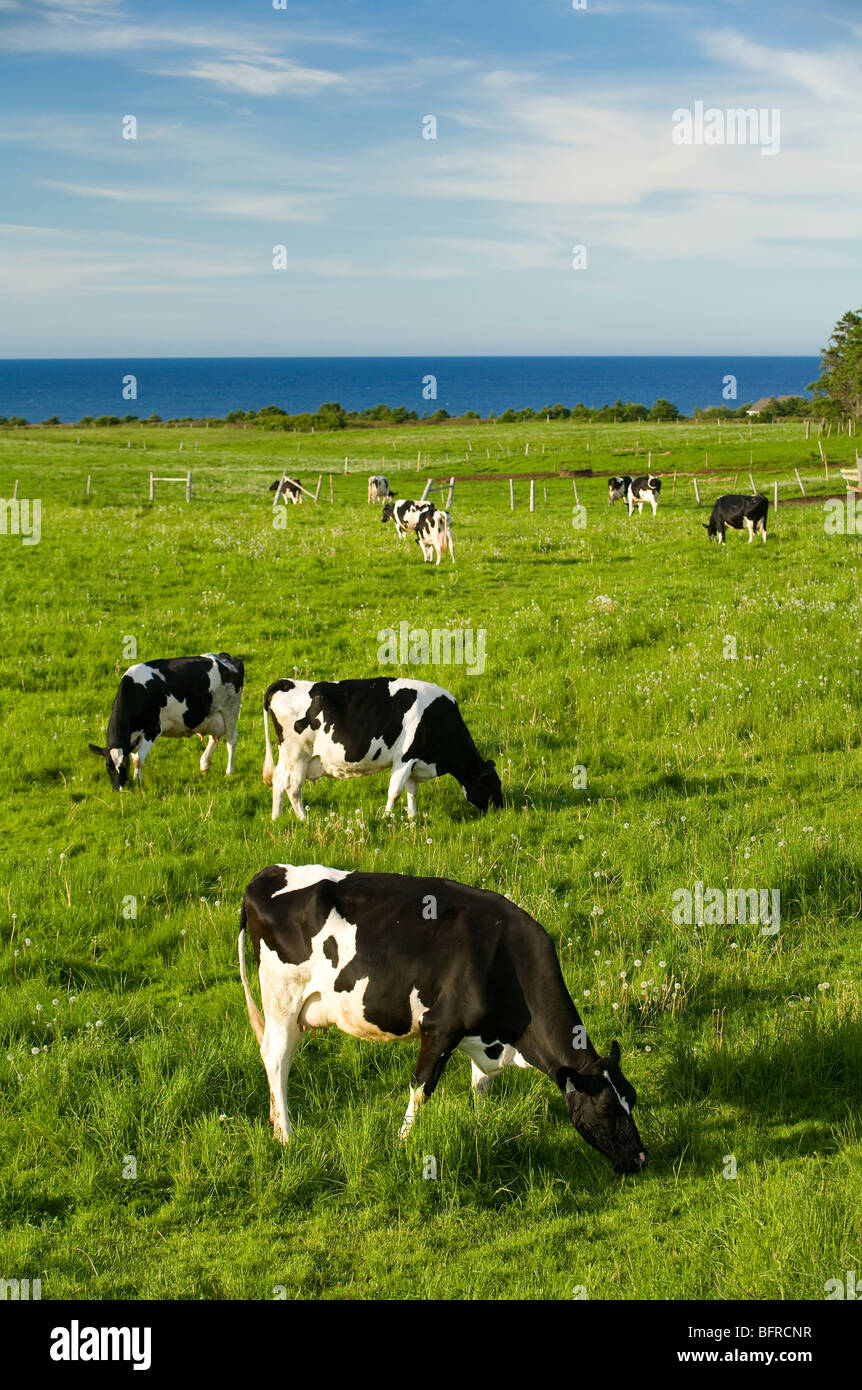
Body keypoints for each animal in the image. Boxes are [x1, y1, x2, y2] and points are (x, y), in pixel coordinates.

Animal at [89, 653, 244, 789]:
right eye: (108, 766)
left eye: (124, 765)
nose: (119, 788)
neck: (136, 692)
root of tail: (227, 657)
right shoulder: (133, 737)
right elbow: (135, 757)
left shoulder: (152, 729)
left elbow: (138, 760)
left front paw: (138, 782)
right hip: (211, 716)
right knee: (214, 738)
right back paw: (204, 765)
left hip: (231, 710)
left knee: (231, 741)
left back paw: (229, 772)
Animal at [238, 863, 649, 1175]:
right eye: (607, 1108)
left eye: (632, 1097)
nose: (642, 1158)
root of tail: (266, 874)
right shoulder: (439, 1028)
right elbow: (422, 1088)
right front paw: (403, 1143)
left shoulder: (483, 1040)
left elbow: (481, 1086)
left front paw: (482, 1131)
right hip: (282, 999)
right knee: (276, 1058)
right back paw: (287, 1136)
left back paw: (276, 1123)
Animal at [262, 676, 502, 821]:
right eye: (492, 784)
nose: (501, 809)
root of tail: (287, 682)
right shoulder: (405, 757)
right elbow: (395, 791)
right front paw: (387, 819)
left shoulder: (415, 761)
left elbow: (411, 791)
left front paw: (413, 818)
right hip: (298, 755)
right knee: (293, 788)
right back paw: (304, 820)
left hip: (287, 756)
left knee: (278, 781)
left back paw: (276, 818)